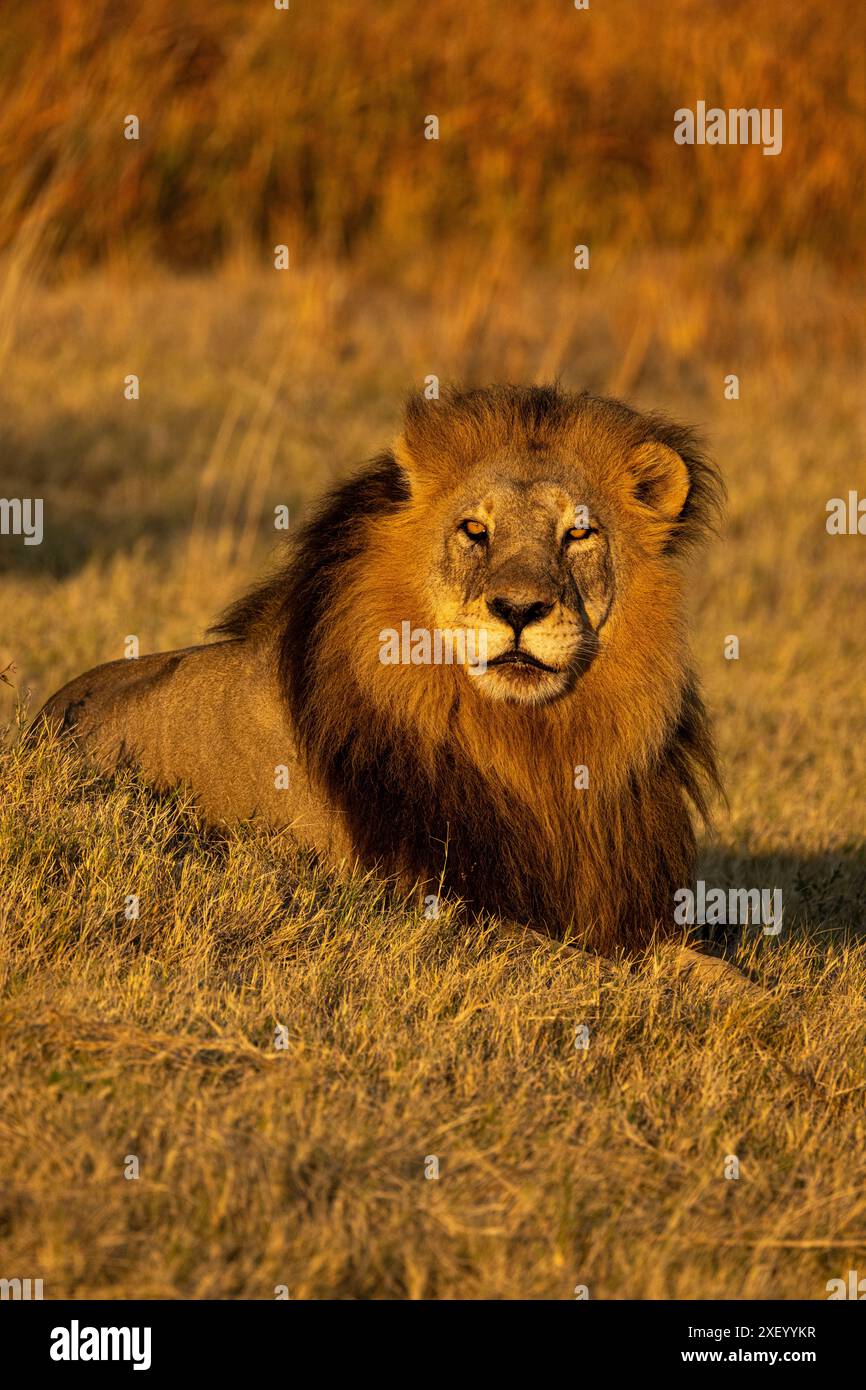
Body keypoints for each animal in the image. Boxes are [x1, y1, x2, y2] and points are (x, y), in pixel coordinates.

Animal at [37, 385, 756, 994]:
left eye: (578, 532)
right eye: (475, 530)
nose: (519, 609)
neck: (532, 752)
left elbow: (706, 966)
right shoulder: (432, 910)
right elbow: (582, 966)